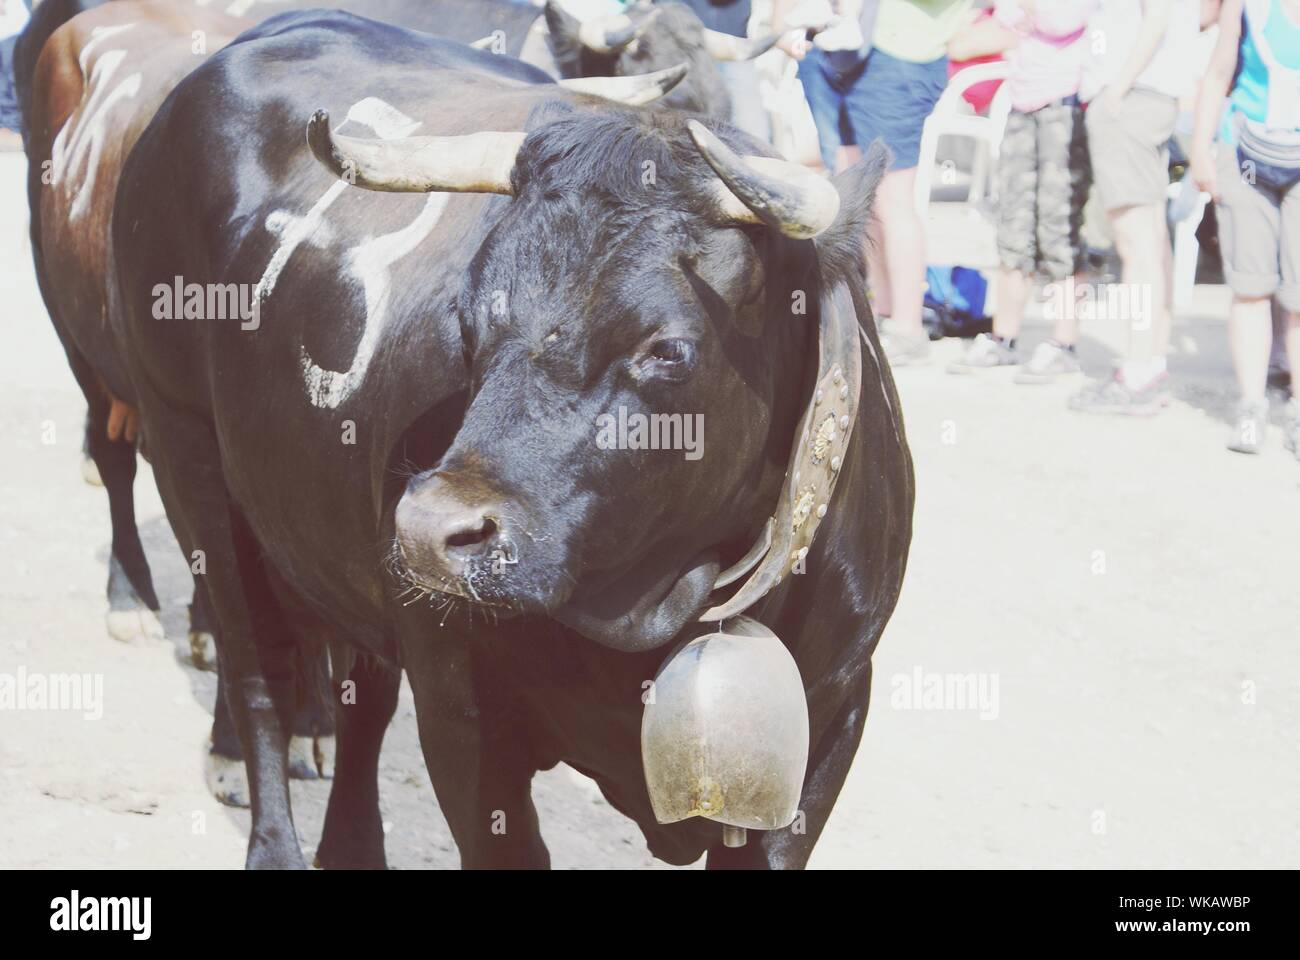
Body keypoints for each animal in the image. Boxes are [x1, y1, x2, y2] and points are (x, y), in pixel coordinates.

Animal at [102, 8, 913, 869]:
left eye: (668, 348)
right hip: (189, 457)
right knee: (256, 667)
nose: (428, 532)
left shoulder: (829, 725)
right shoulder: (465, 721)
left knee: (361, 695)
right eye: (471, 315)